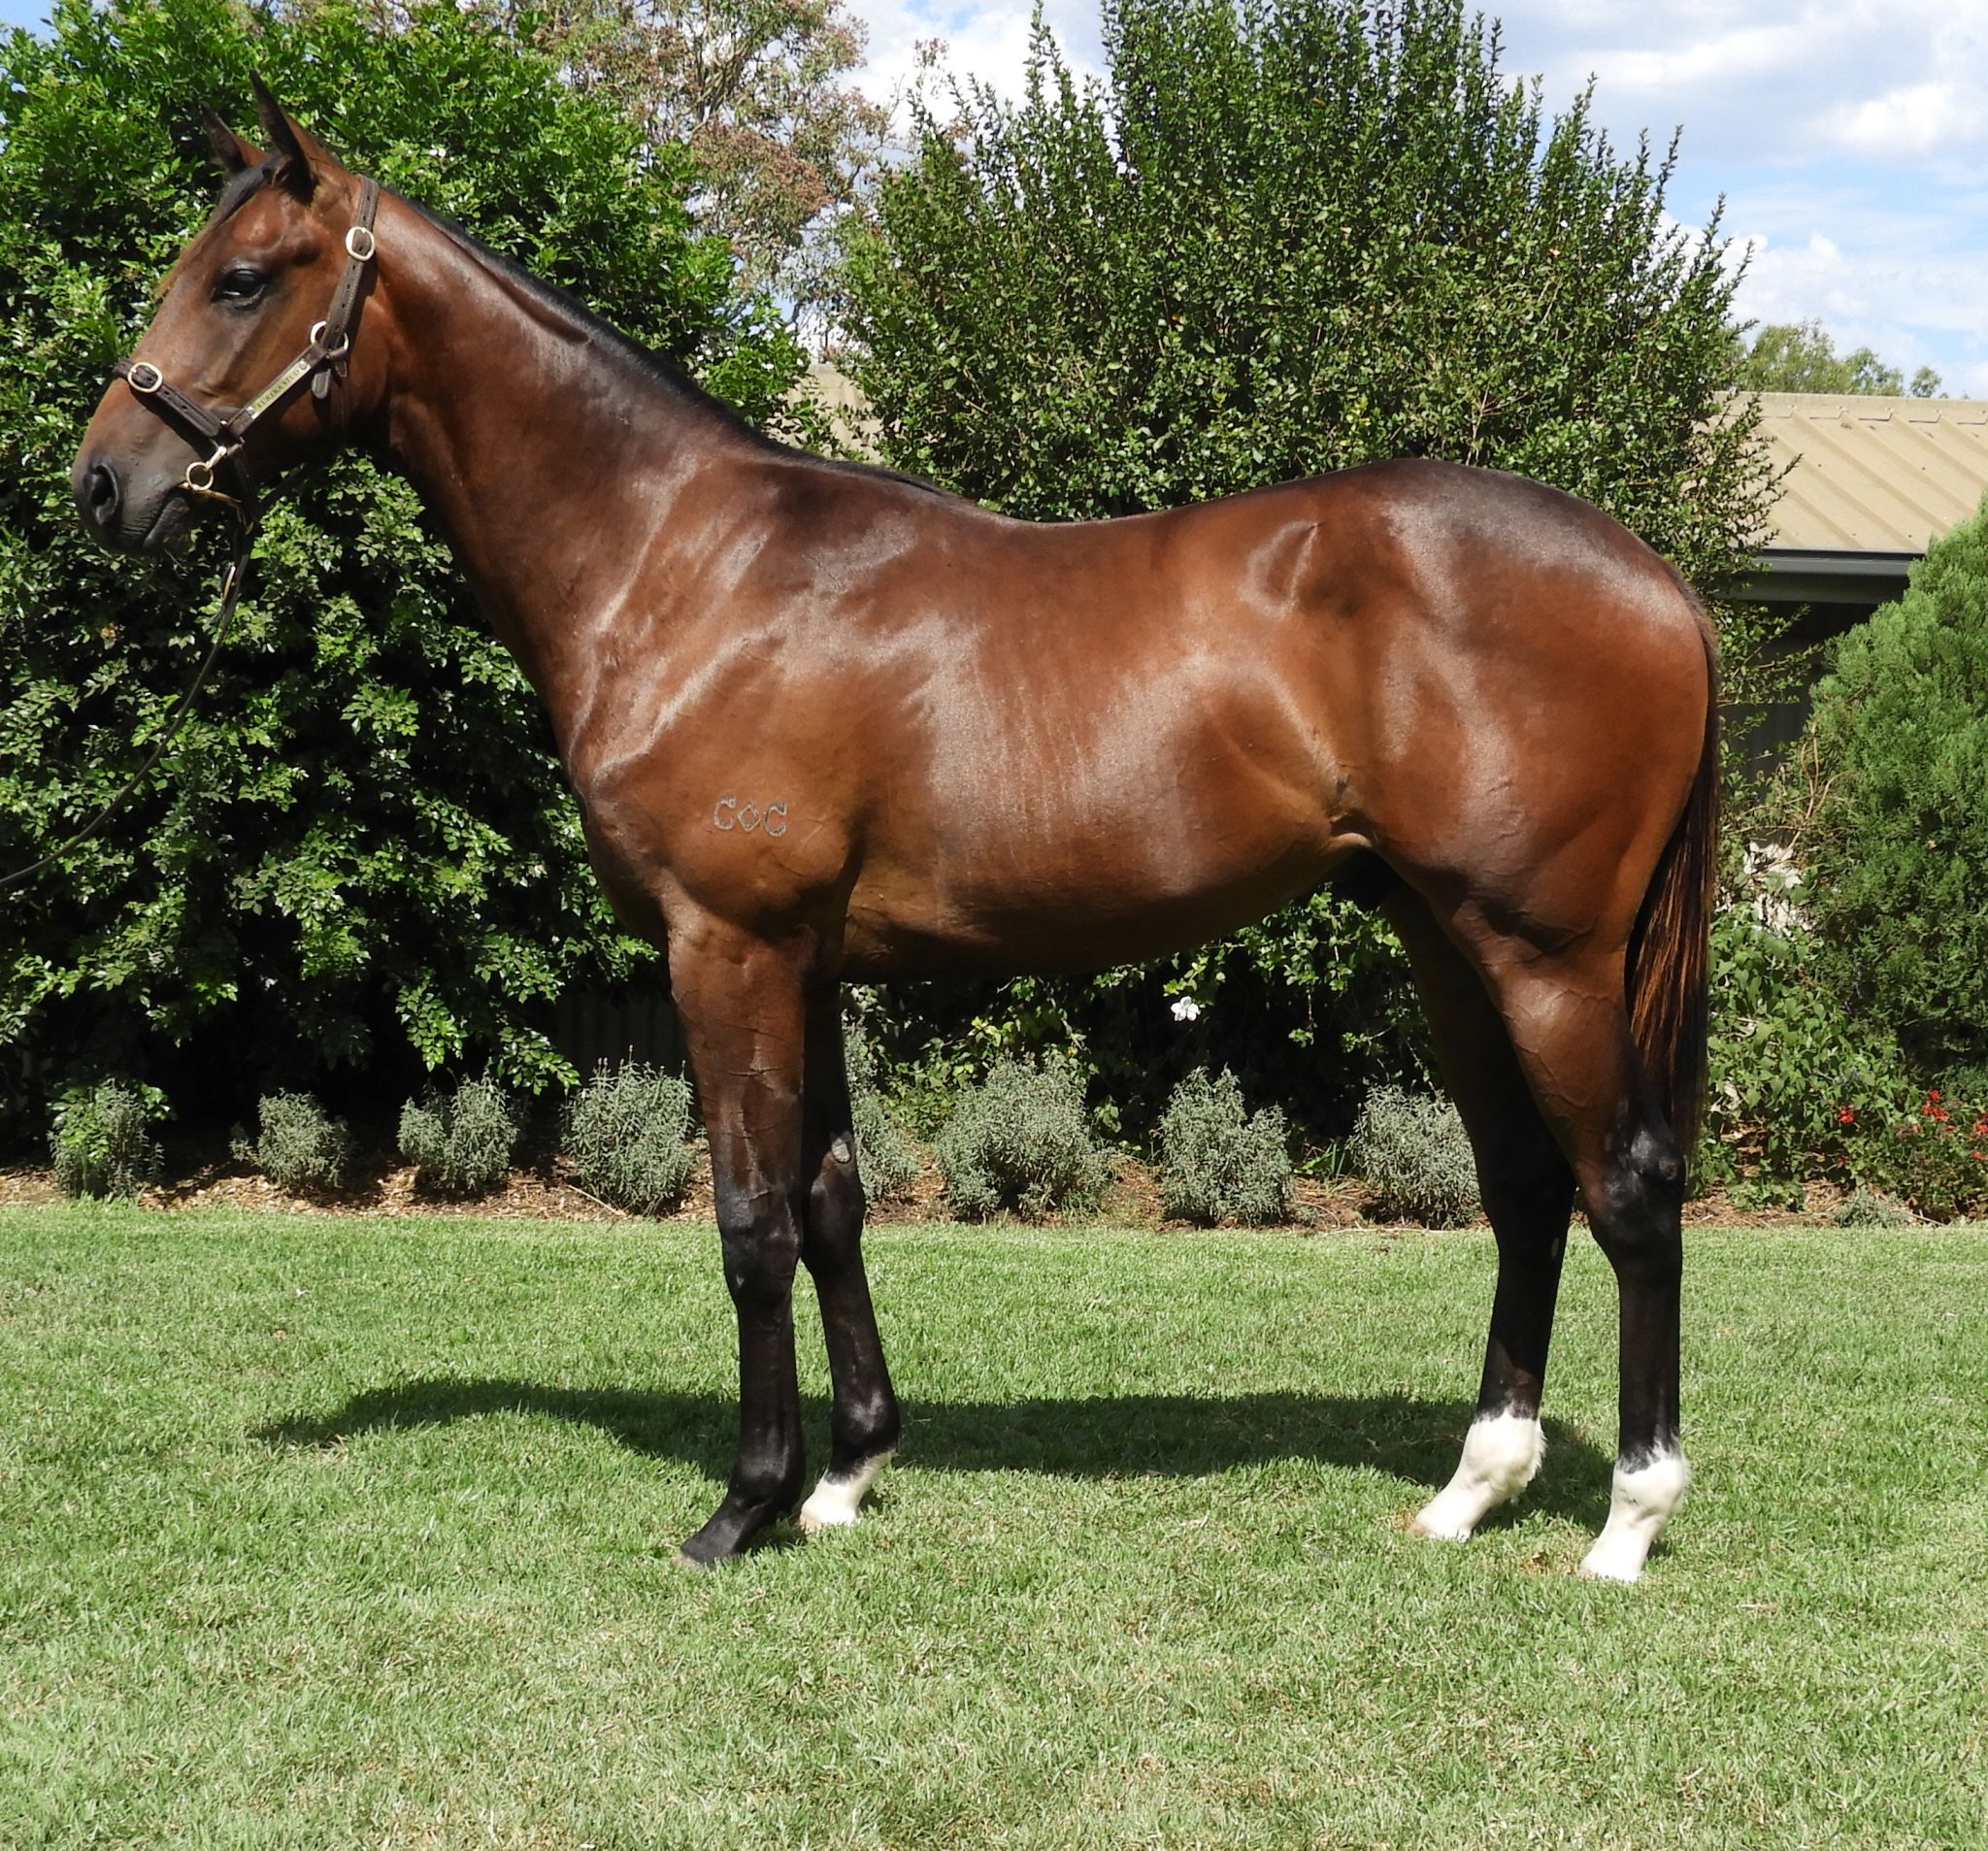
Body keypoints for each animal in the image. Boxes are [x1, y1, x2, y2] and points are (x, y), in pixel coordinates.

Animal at [73, 87, 1717, 1581]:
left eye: (241, 277)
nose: (104, 483)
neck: (683, 562)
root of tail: (1657, 580)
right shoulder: (804, 961)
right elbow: (831, 1202)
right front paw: (847, 1474)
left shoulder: (724, 948)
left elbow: (748, 1221)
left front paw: (739, 1508)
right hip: (1443, 939)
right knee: (1524, 1185)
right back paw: (1470, 1489)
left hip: (1544, 953)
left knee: (1628, 1185)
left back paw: (1628, 1521)